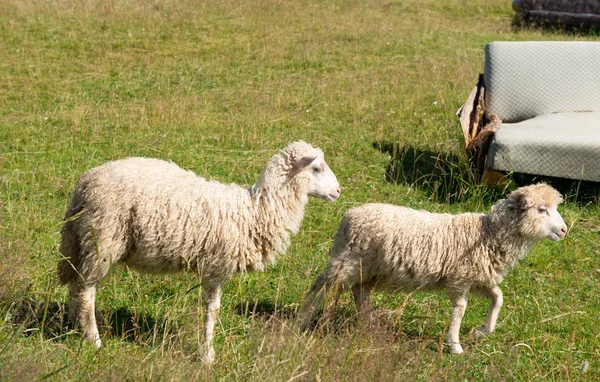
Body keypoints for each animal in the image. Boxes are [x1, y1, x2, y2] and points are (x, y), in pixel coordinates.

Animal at [58, 141, 340, 364]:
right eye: (316, 168)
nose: (338, 191)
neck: (253, 211)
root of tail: (85, 183)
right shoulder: (216, 265)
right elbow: (212, 311)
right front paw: (207, 355)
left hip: (83, 241)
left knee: (75, 284)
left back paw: (74, 326)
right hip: (103, 239)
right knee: (86, 291)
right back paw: (94, 340)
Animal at [300, 184, 568, 354]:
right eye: (542, 210)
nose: (565, 230)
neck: (488, 234)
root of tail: (349, 215)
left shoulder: (479, 279)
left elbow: (498, 298)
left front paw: (482, 331)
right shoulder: (459, 280)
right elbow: (460, 310)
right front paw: (455, 344)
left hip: (369, 269)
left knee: (359, 292)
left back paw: (369, 324)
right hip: (347, 261)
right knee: (320, 285)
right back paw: (302, 320)